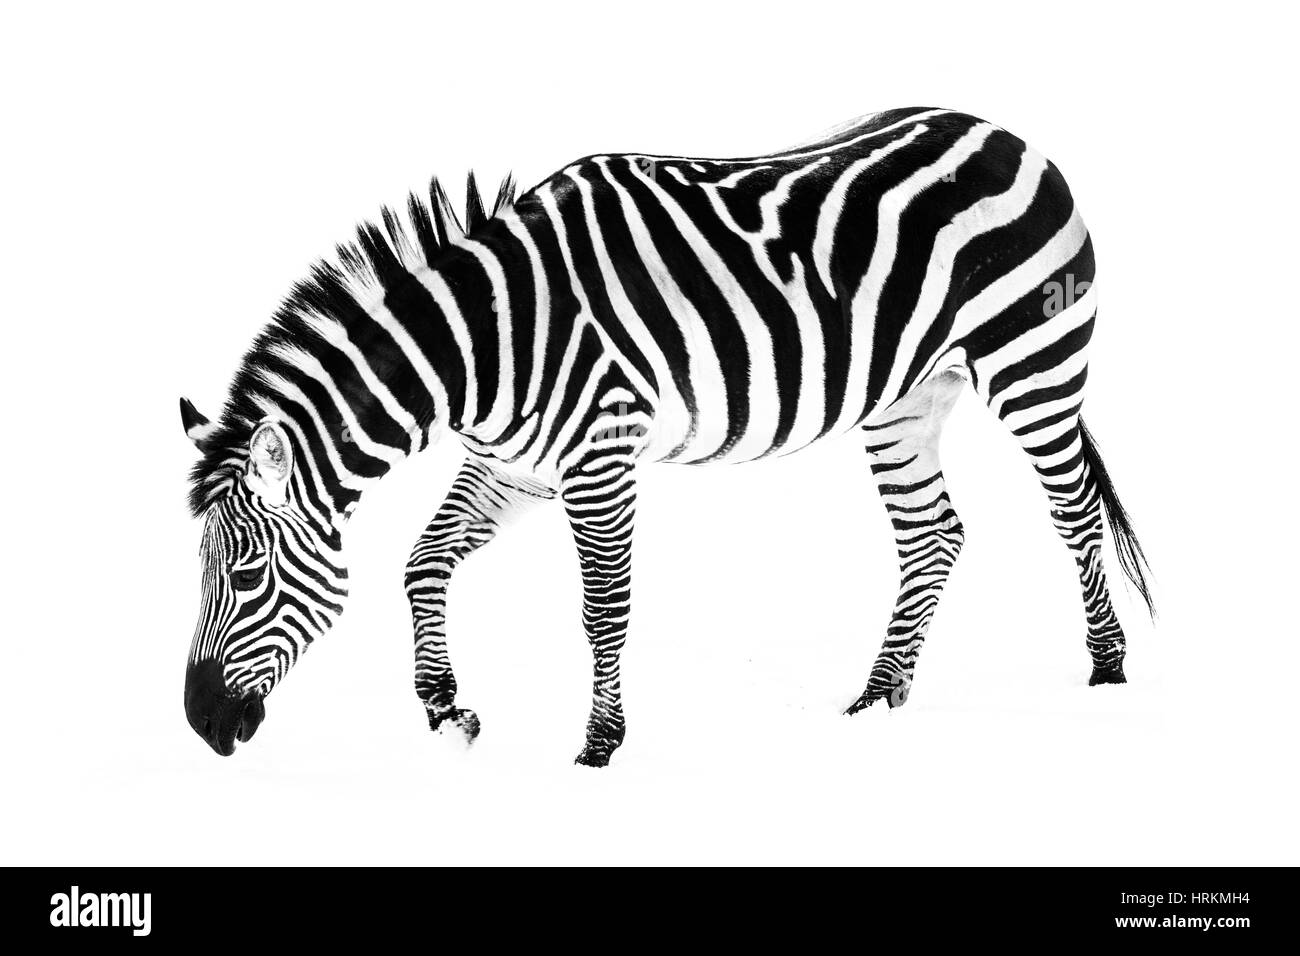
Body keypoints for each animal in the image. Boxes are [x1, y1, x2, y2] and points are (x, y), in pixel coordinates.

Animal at [180, 107, 1152, 765]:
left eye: (245, 574)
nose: (199, 723)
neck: (489, 339)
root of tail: (1008, 133)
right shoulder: (515, 466)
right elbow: (424, 562)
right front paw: (446, 711)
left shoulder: (599, 459)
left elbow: (602, 610)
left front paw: (599, 747)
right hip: (905, 398)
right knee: (934, 535)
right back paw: (879, 699)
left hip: (1034, 365)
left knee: (1072, 510)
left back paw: (1107, 677)